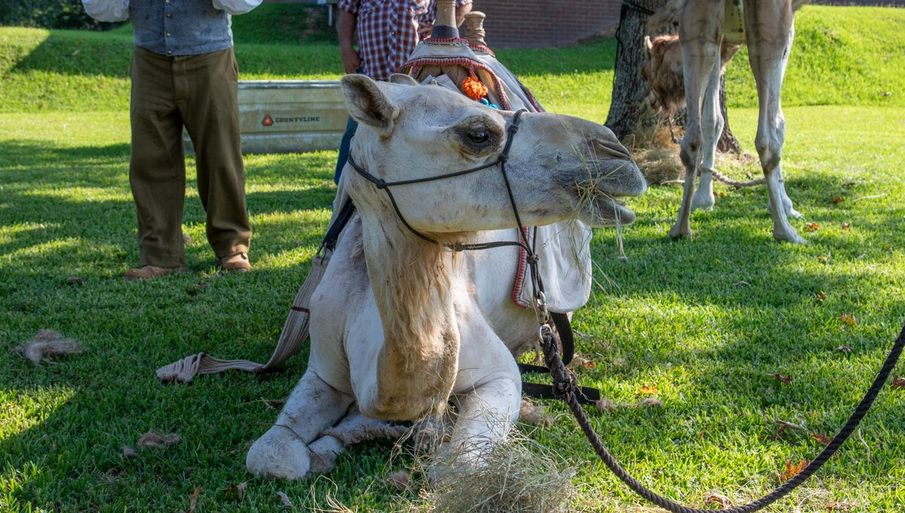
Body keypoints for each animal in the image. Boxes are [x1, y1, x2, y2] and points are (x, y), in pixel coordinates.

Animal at [245, 74, 647, 479]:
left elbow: (459, 467)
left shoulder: (499, 376)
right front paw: (329, 443)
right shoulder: (323, 371)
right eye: (479, 134)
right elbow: (271, 454)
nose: (615, 151)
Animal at [650, 0, 806, 243]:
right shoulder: (787, 24)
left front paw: (703, 200)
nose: (653, 100)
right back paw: (786, 231)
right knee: (767, 138)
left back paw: (680, 229)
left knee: (692, 138)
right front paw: (786, 205)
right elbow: (779, 123)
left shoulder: (719, 37)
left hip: (696, 20)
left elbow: (712, 119)